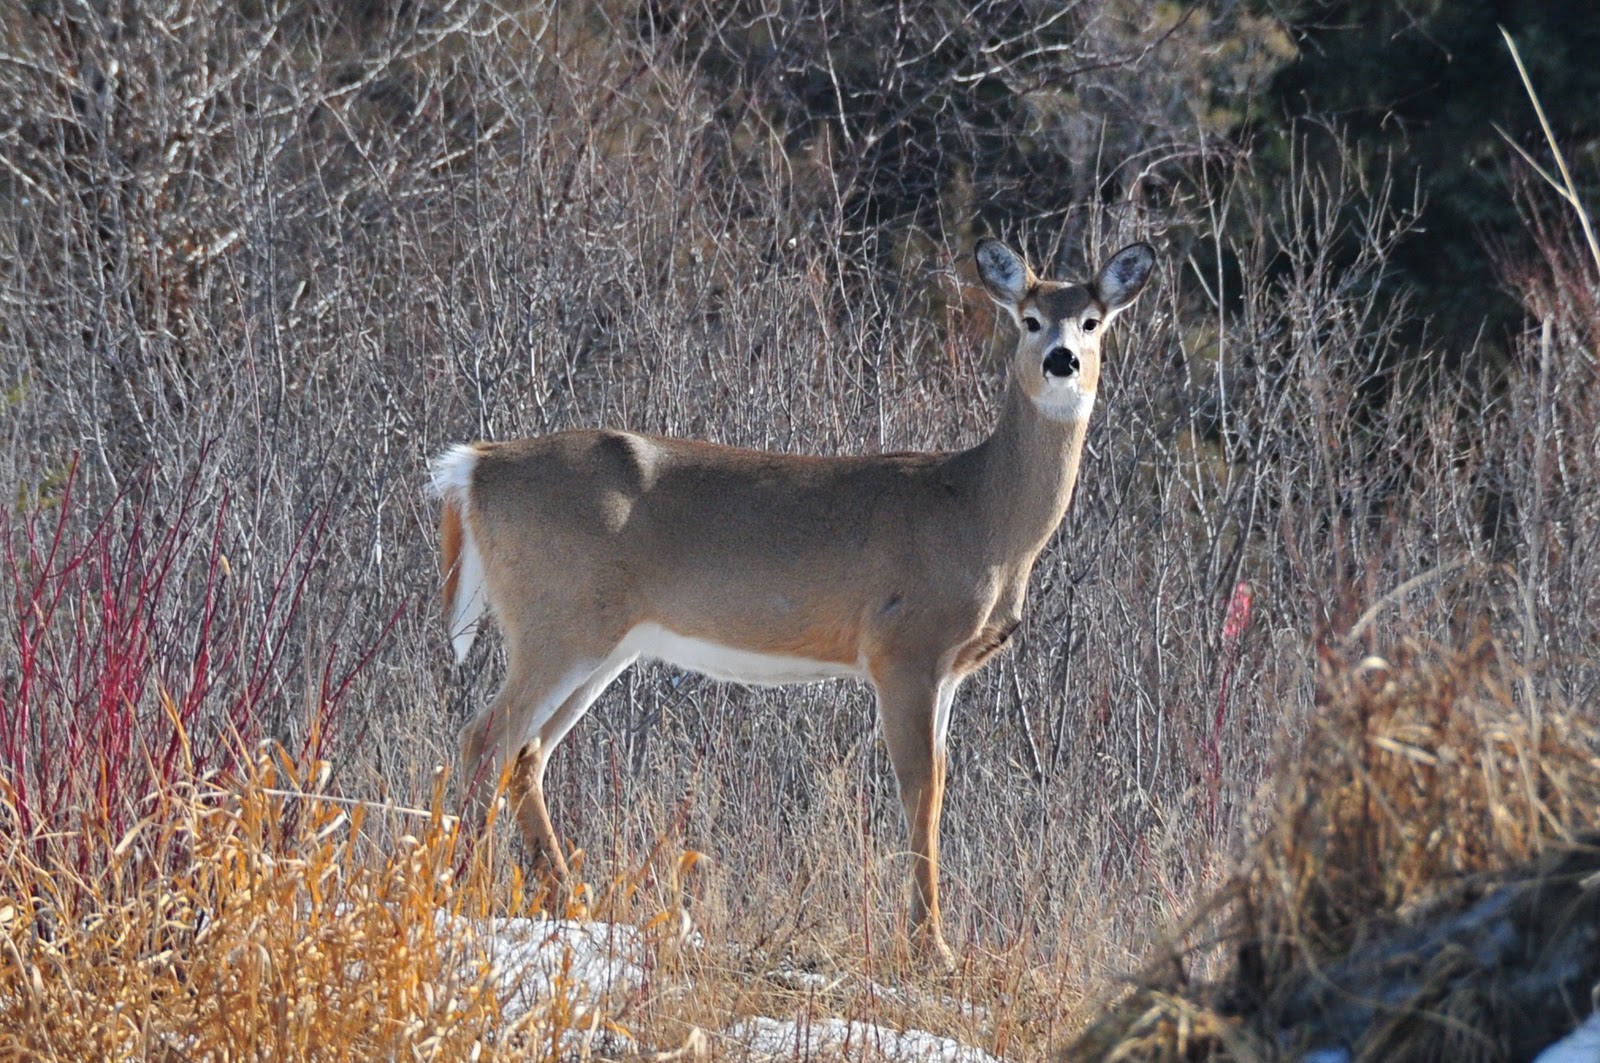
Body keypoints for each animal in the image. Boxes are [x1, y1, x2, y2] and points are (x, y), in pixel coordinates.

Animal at [429, 237, 1156, 966]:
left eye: (1092, 322)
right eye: (1029, 320)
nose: (1062, 359)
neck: (982, 512)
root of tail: (475, 466)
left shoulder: (949, 668)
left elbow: (940, 783)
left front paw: (930, 938)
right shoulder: (903, 646)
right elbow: (919, 788)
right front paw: (932, 946)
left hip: (602, 641)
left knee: (526, 754)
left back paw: (568, 898)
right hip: (558, 620)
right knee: (484, 737)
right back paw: (466, 890)